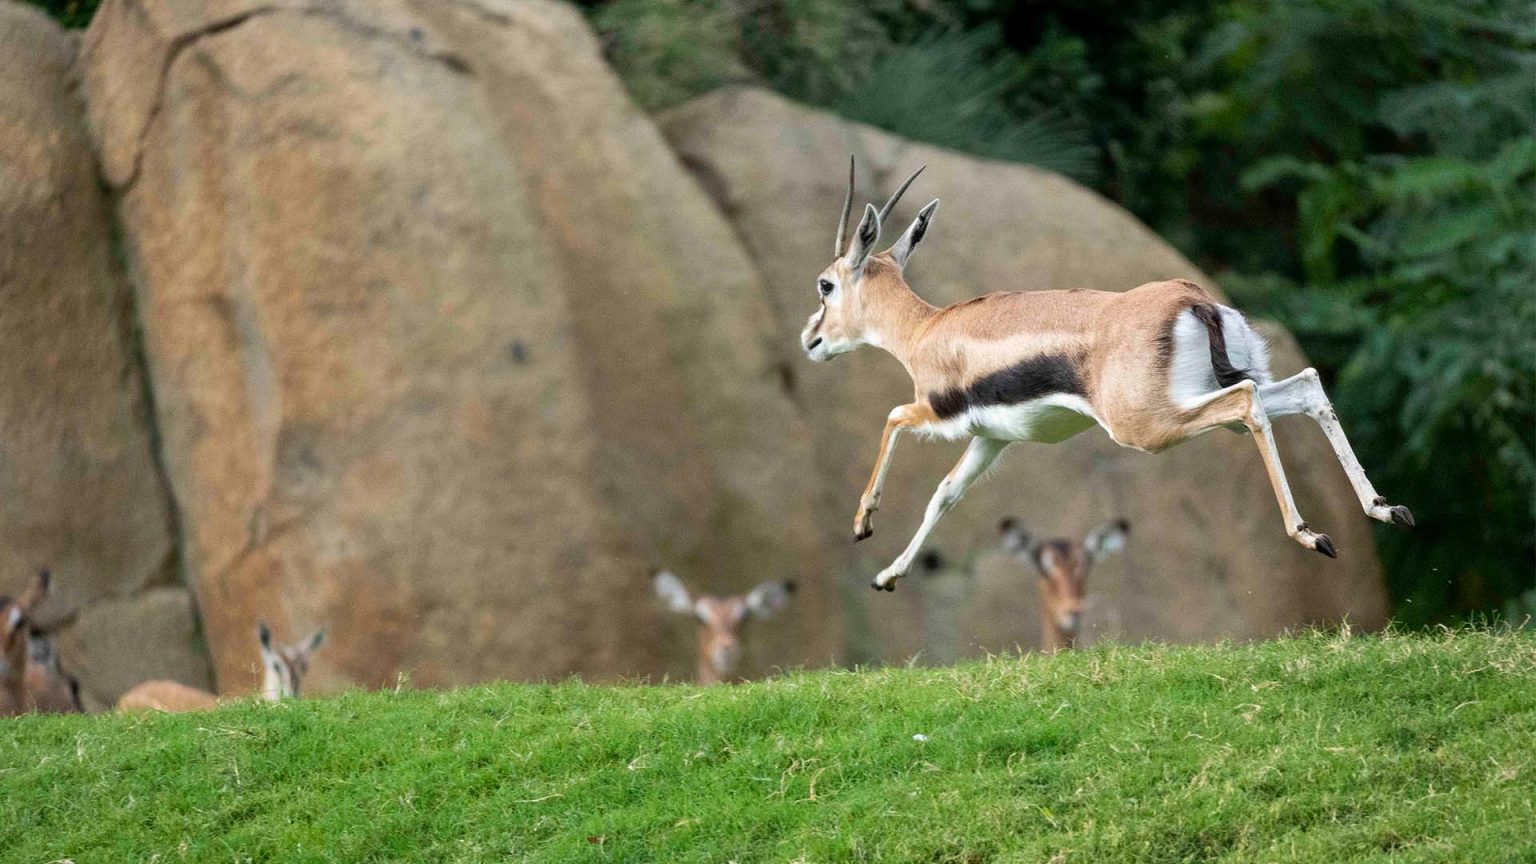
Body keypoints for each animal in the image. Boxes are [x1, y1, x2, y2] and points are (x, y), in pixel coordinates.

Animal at [802, 158, 1413, 591]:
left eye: (826, 284)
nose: (811, 339)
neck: (925, 330)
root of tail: (1192, 299)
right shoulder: (992, 439)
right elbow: (945, 495)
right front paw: (888, 576)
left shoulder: (936, 412)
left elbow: (890, 419)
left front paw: (862, 525)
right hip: (1212, 392)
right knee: (1306, 387)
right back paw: (1386, 508)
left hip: (1150, 424)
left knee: (1246, 404)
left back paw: (1310, 534)